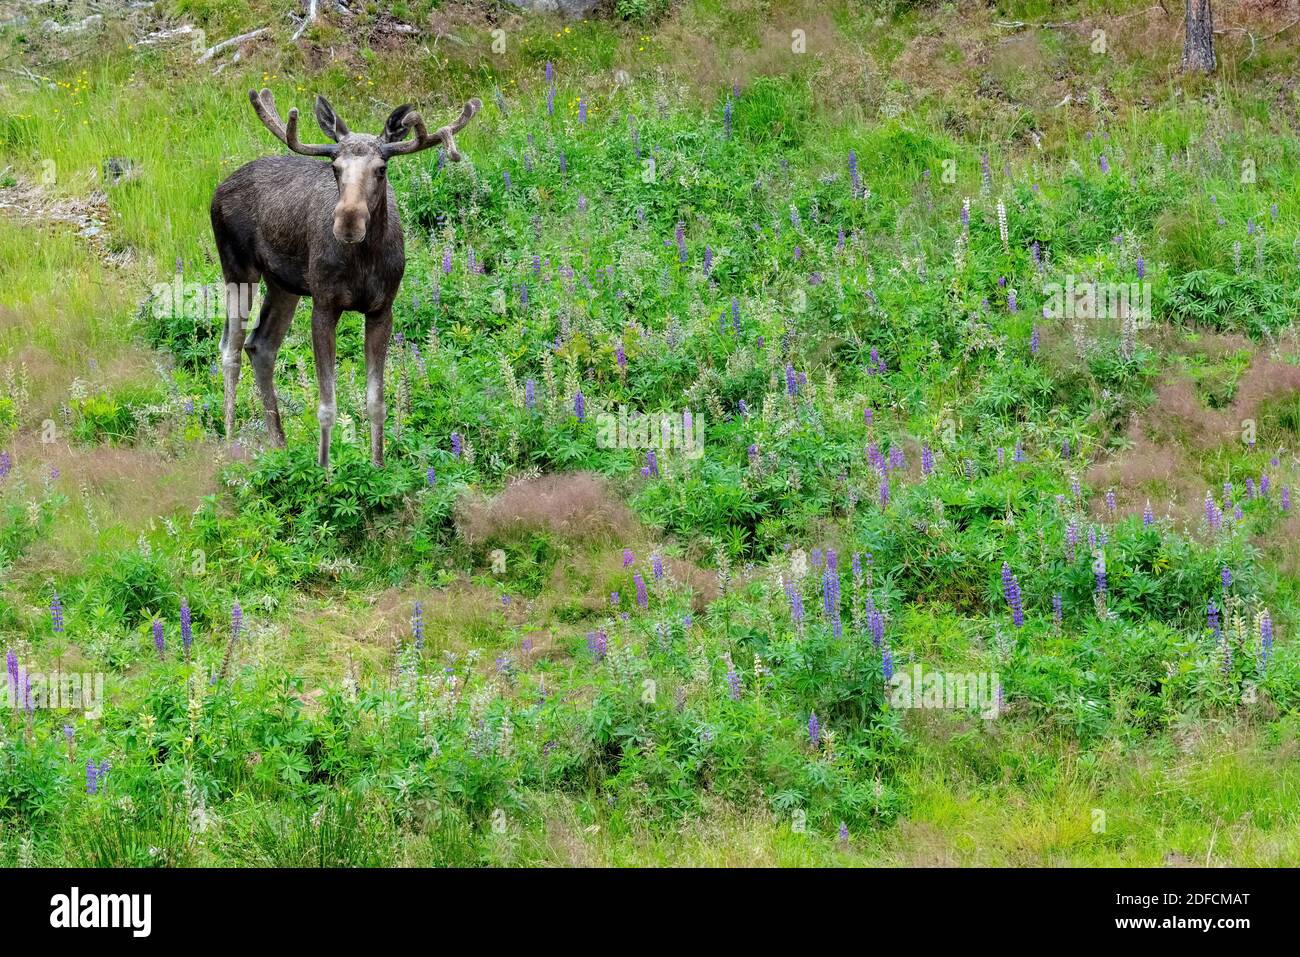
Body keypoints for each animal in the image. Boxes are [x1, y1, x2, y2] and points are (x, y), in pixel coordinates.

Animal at [211, 88, 481, 470]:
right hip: (239, 270)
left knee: (260, 345)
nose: (348, 221)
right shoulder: (324, 304)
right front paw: (325, 470)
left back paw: (279, 444)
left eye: (381, 169)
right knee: (230, 348)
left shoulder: (383, 309)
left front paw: (378, 466)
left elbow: (377, 401)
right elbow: (327, 403)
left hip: (284, 284)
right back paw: (231, 438)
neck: (363, 263)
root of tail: (218, 188)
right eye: (335, 168)